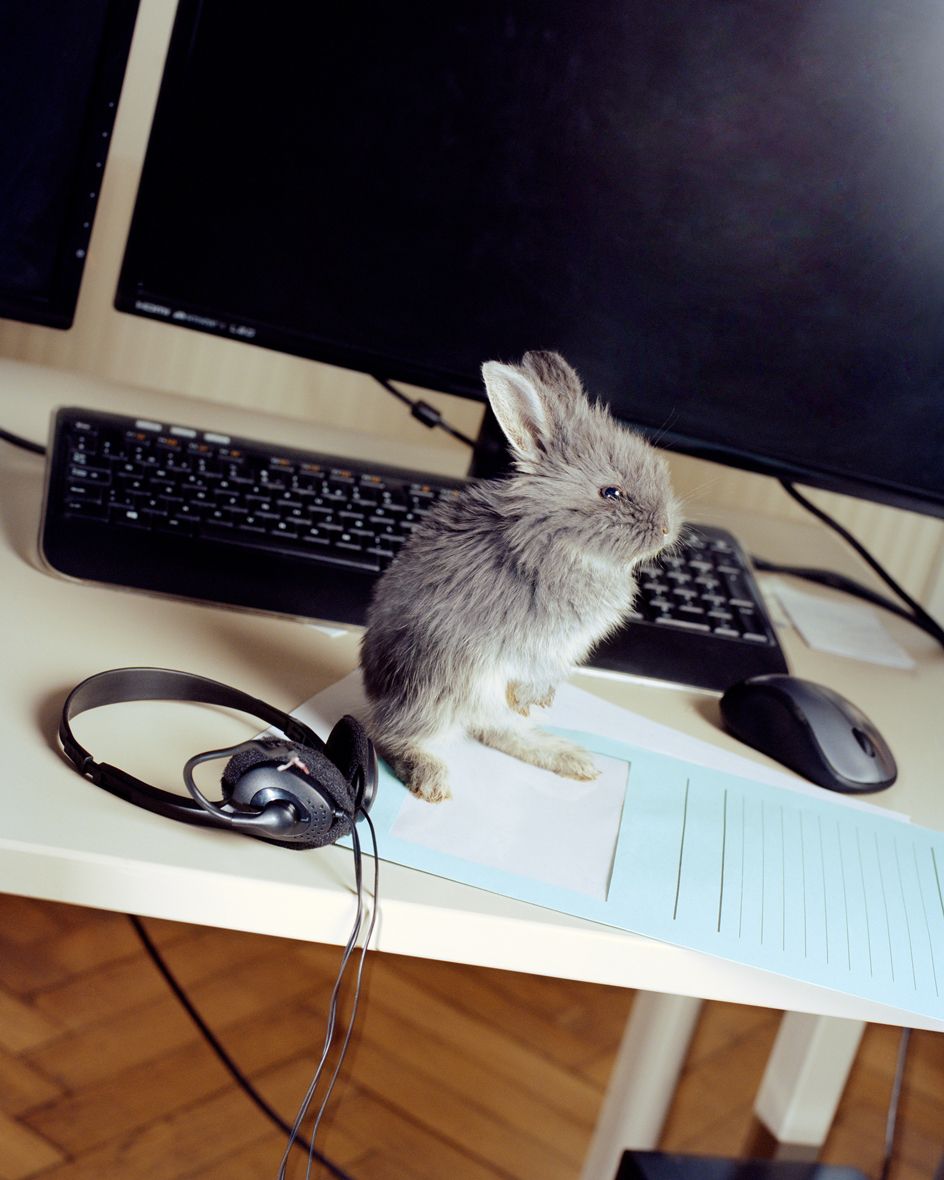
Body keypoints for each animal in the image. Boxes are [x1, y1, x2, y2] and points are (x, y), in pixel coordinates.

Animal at [359, 350, 681, 802]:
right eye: (611, 493)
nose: (667, 529)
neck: (560, 538)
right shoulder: (534, 644)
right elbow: (532, 669)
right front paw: (534, 699)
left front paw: (538, 704)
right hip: (437, 690)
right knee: (387, 734)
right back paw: (432, 779)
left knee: (495, 730)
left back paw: (571, 759)